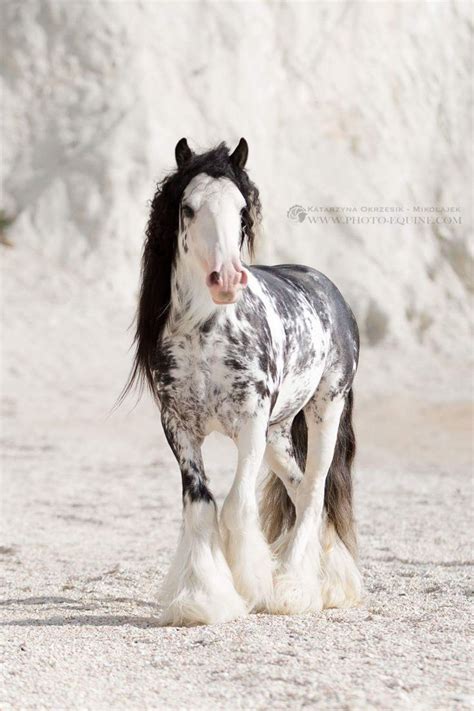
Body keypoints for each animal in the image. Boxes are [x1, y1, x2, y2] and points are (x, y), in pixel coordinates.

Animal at [123, 137, 362, 626]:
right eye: (188, 208)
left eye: (241, 211)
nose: (227, 279)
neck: (207, 332)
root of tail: (330, 291)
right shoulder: (179, 428)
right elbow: (200, 505)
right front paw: (203, 600)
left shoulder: (250, 424)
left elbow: (236, 506)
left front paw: (250, 585)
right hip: (278, 434)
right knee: (300, 492)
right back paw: (327, 582)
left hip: (325, 410)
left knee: (314, 492)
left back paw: (293, 590)